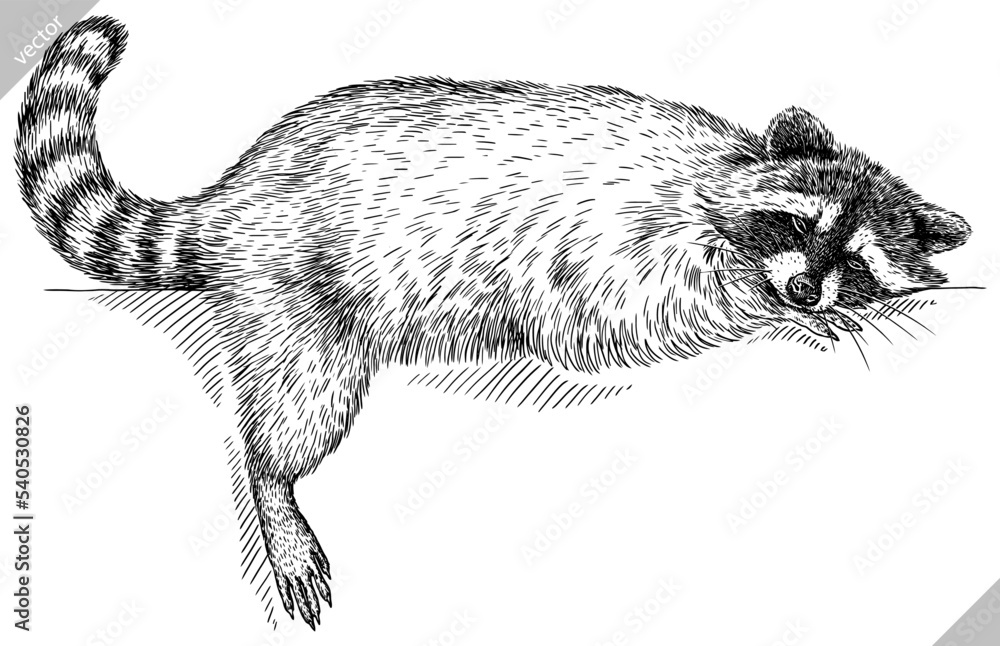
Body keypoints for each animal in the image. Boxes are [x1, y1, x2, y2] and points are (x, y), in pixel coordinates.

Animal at [15, 17, 971, 628]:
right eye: (800, 226)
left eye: (855, 257)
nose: (806, 291)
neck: (723, 176)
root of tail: (243, 192)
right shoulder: (623, 254)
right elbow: (638, 320)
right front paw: (773, 317)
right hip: (305, 295)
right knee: (295, 410)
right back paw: (273, 486)